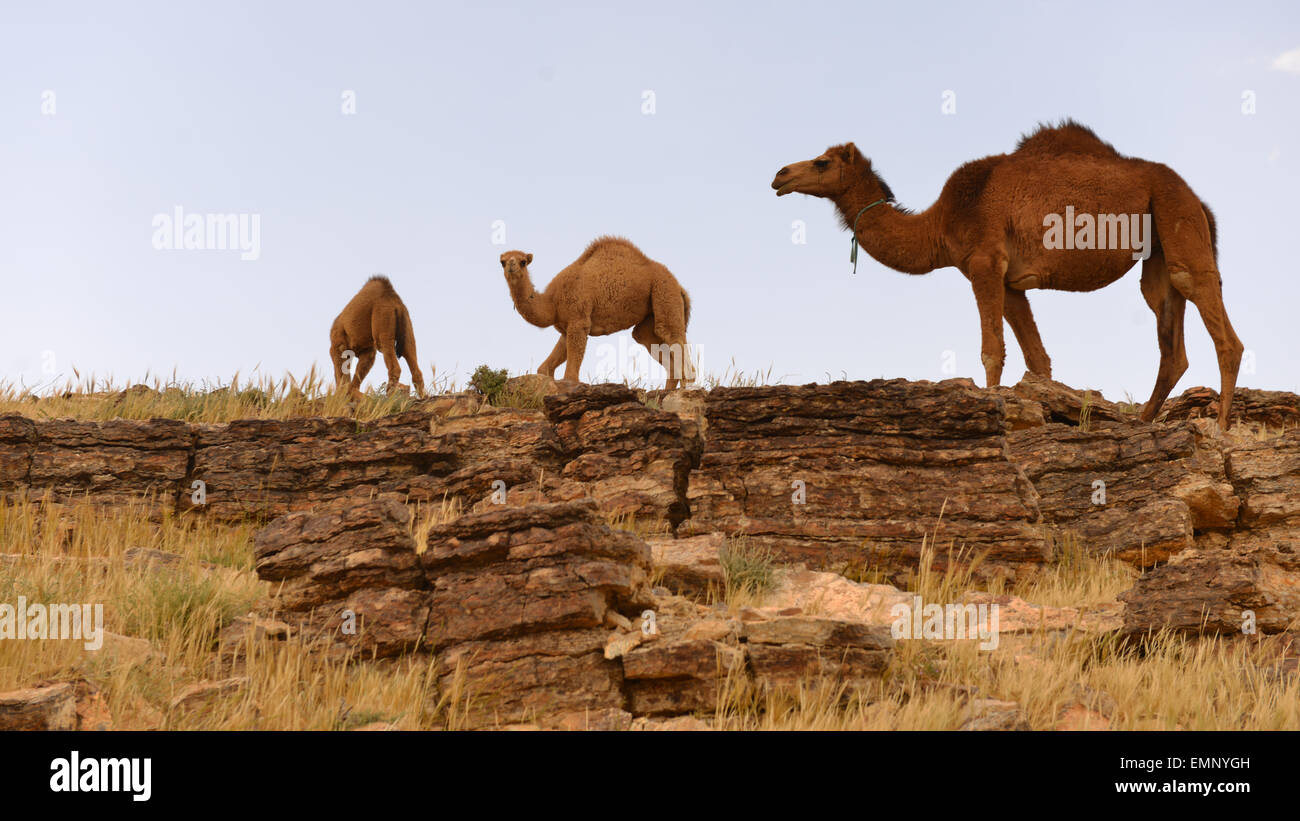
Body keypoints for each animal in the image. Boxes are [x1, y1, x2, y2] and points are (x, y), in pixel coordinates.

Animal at [499, 236, 694, 389]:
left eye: (523, 261)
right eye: (502, 261)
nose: (511, 265)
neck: (552, 302)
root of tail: (680, 287)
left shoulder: (579, 319)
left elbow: (570, 375)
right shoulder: (566, 327)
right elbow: (545, 367)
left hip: (664, 291)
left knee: (672, 335)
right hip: (650, 314)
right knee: (648, 339)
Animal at [771, 121, 1243, 428]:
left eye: (821, 162)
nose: (779, 175)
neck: (940, 222)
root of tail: (1199, 199)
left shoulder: (984, 263)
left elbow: (991, 351)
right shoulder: (1011, 284)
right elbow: (1038, 359)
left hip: (1175, 213)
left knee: (1210, 310)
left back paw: (1220, 428)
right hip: (1158, 246)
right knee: (1168, 327)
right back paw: (1143, 422)